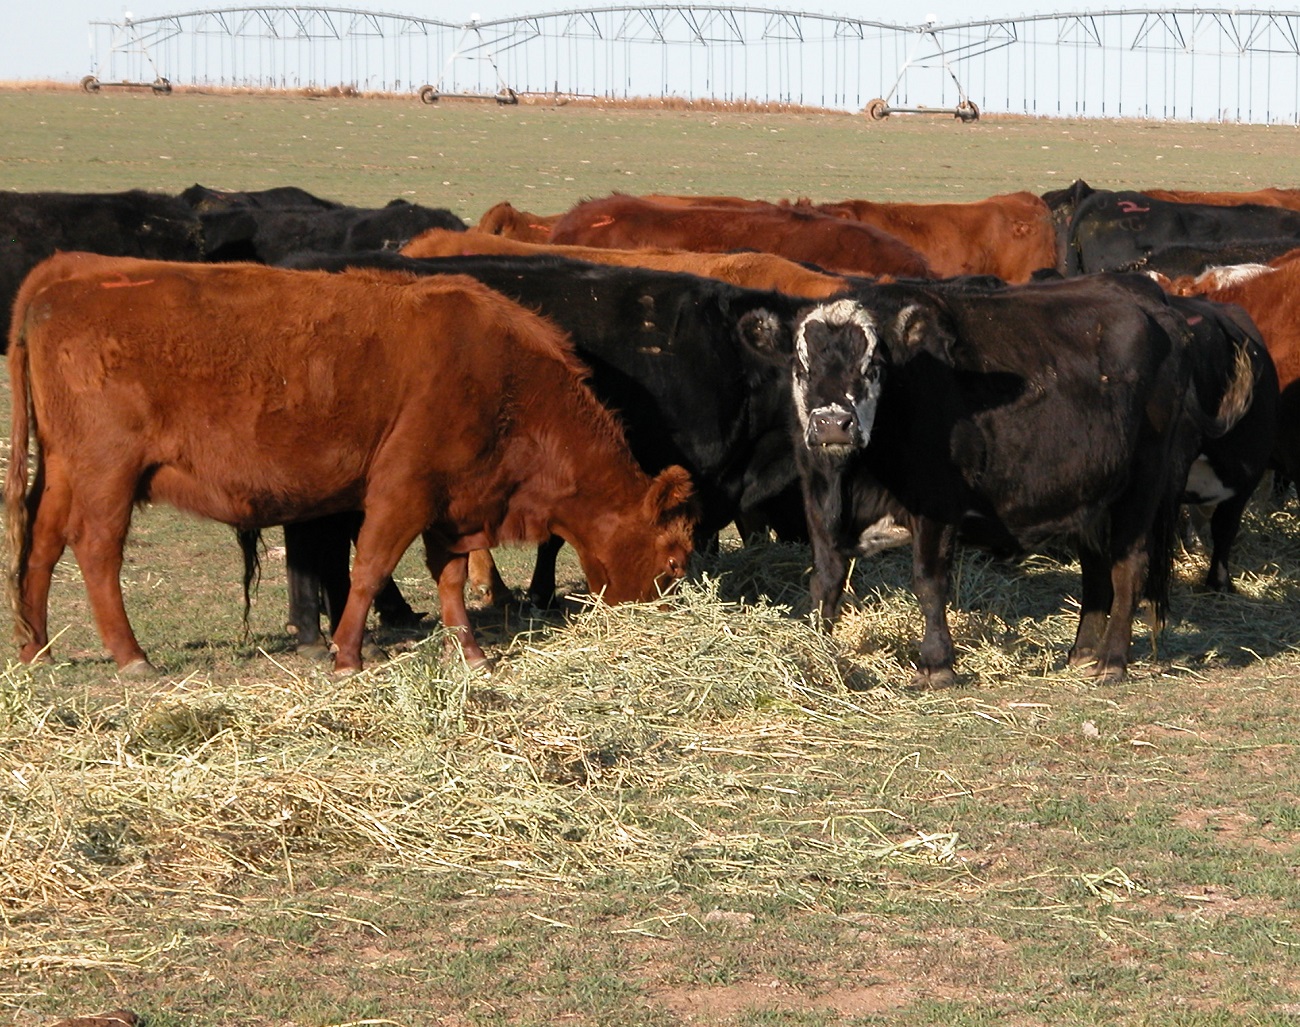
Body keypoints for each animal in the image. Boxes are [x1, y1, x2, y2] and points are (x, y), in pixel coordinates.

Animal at [6, 252, 697, 675]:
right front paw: (346, 655)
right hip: (107, 473)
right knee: (96, 551)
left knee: (40, 546)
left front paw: (471, 653)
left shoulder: (452, 505)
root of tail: (71, 272)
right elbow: (368, 570)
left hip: (64, 468)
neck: (505, 379)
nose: (667, 625)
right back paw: (131, 656)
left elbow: (449, 579)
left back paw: (37, 649)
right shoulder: (402, 491)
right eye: (672, 562)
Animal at [743, 273, 1255, 686]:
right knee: (1095, 569)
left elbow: (929, 582)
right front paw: (819, 653)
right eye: (801, 367)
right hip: (1092, 493)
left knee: (1128, 566)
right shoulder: (818, 502)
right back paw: (1081, 654)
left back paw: (1112, 661)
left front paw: (937, 665)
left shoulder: (936, 506)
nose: (833, 424)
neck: (851, 476)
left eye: (874, 367)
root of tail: (1149, 300)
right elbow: (826, 580)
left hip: (1142, 486)